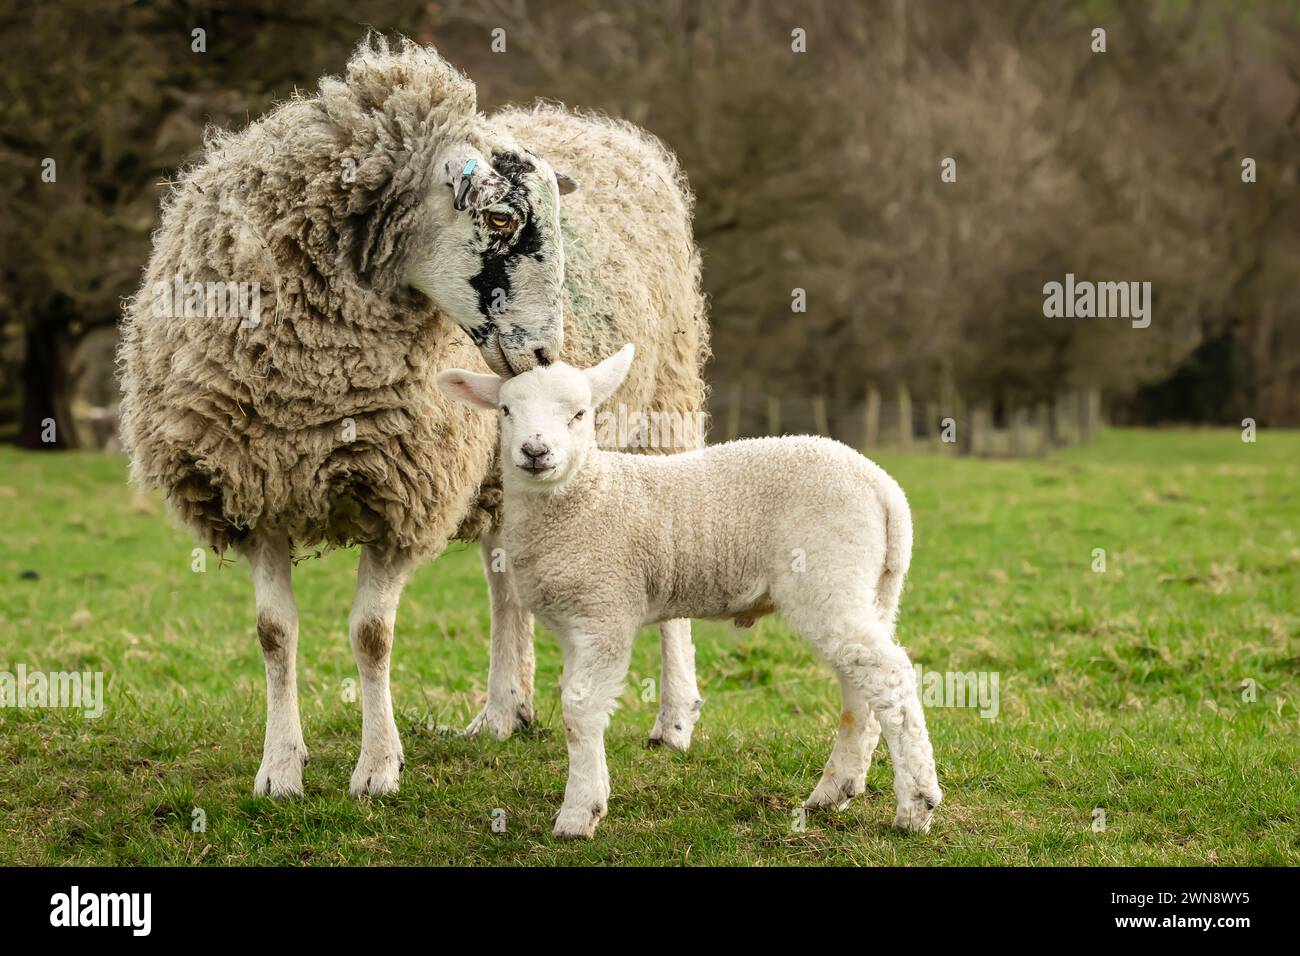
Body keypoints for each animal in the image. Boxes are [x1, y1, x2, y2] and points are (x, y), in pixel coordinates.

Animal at [117, 35, 710, 799]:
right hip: (508, 467)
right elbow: (274, 633)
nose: (549, 355)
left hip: (667, 411)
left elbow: (372, 635)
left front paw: (377, 768)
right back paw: (503, 712)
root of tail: (600, 126)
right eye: (500, 218)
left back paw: (673, 720)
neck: (311, 382)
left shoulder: (402, 491)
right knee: (505, 578)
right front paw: (279, 768)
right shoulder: (256, 488)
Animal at [437, 345, 943, 838]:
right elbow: (577, 708)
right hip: (869, 588)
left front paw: (578, 816)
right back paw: (835, 790)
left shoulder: (605, 610)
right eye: (506, 410)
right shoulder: (574, 620)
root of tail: (884, 488)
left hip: (828, 575)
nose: (535, 451)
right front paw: (589, 797)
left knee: (890, 676)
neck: (586, 494)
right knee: (861, 685)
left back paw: (916, 805)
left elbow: (580, 709)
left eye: (580, 414)